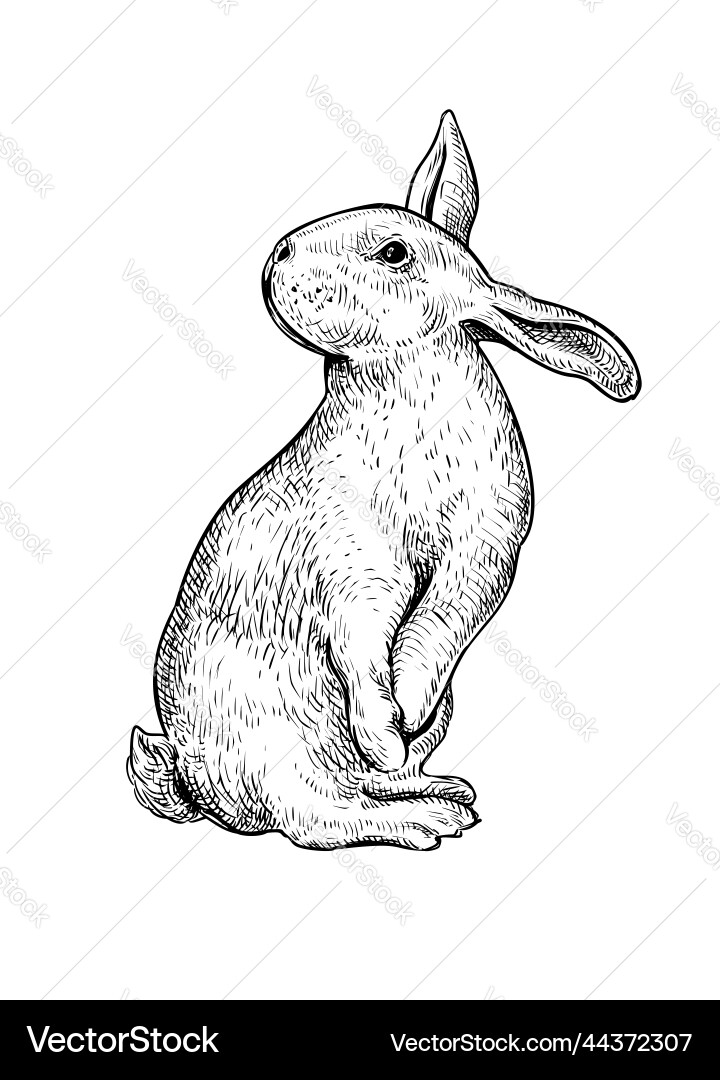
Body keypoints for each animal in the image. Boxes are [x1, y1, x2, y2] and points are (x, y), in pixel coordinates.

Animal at [128, 111, 639, 850]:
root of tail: (197, 784)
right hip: (273, 736)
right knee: (317, 814)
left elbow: (439, 629)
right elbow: (367, 649)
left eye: (394, 253)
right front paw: (386, 732)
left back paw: (435, 789)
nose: (278, 255)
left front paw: (406, 719)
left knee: (342, 798)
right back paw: (426, 817)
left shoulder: (480, 558)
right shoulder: (353, 571)